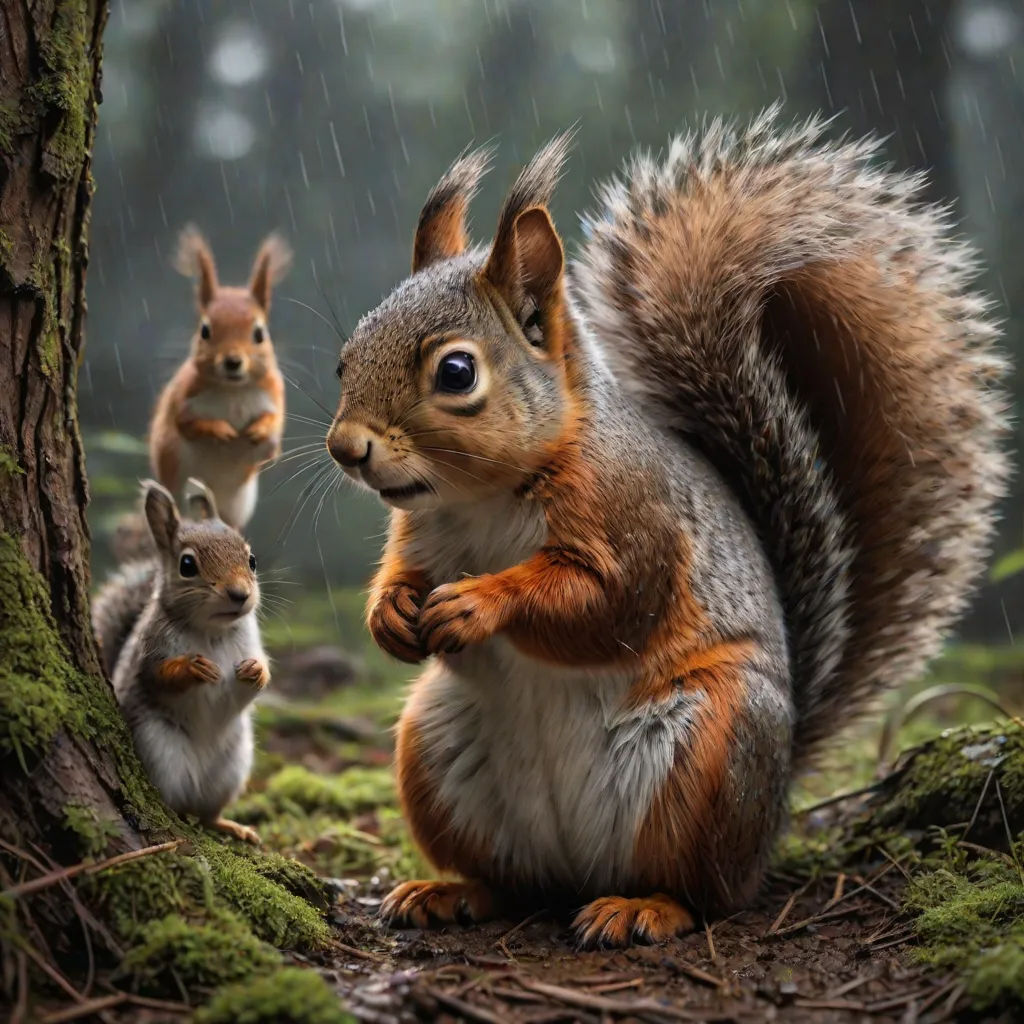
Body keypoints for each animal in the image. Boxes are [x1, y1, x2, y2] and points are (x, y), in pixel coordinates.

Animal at [93, 477, 269, 844]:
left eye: (252, 560)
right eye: (187, 565)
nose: (240, 595)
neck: (213, 631)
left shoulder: (251, 642)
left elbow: (259, 678)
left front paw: (256, 670)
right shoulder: (149, 655)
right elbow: (160, 678)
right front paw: (193, 668)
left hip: (232, 766)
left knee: (208, 814)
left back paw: (230, 826)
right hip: (162, 752)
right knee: (175, 803)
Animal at [149, 227, 291, 530]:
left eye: (259, 333)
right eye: (205, 331)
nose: (233, 361)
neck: (233, 391)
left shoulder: (274, 396)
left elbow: (275, 425)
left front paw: (260, 429)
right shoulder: (184, 399)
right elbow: (188, 424)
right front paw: (220, 430)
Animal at [324, 110, 1009, 947]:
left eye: (456, 373)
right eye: (345, 359)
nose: (346, 448)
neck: (481, 496)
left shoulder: (636, 523)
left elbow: (605, 606)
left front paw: (480, 602)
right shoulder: (421, 531)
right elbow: (403, 575)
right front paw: (390, 614)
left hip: (711, 750)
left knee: (709, 890)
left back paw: (643, 907)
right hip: (435, 745)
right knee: (510, 881)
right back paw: (451, 892)